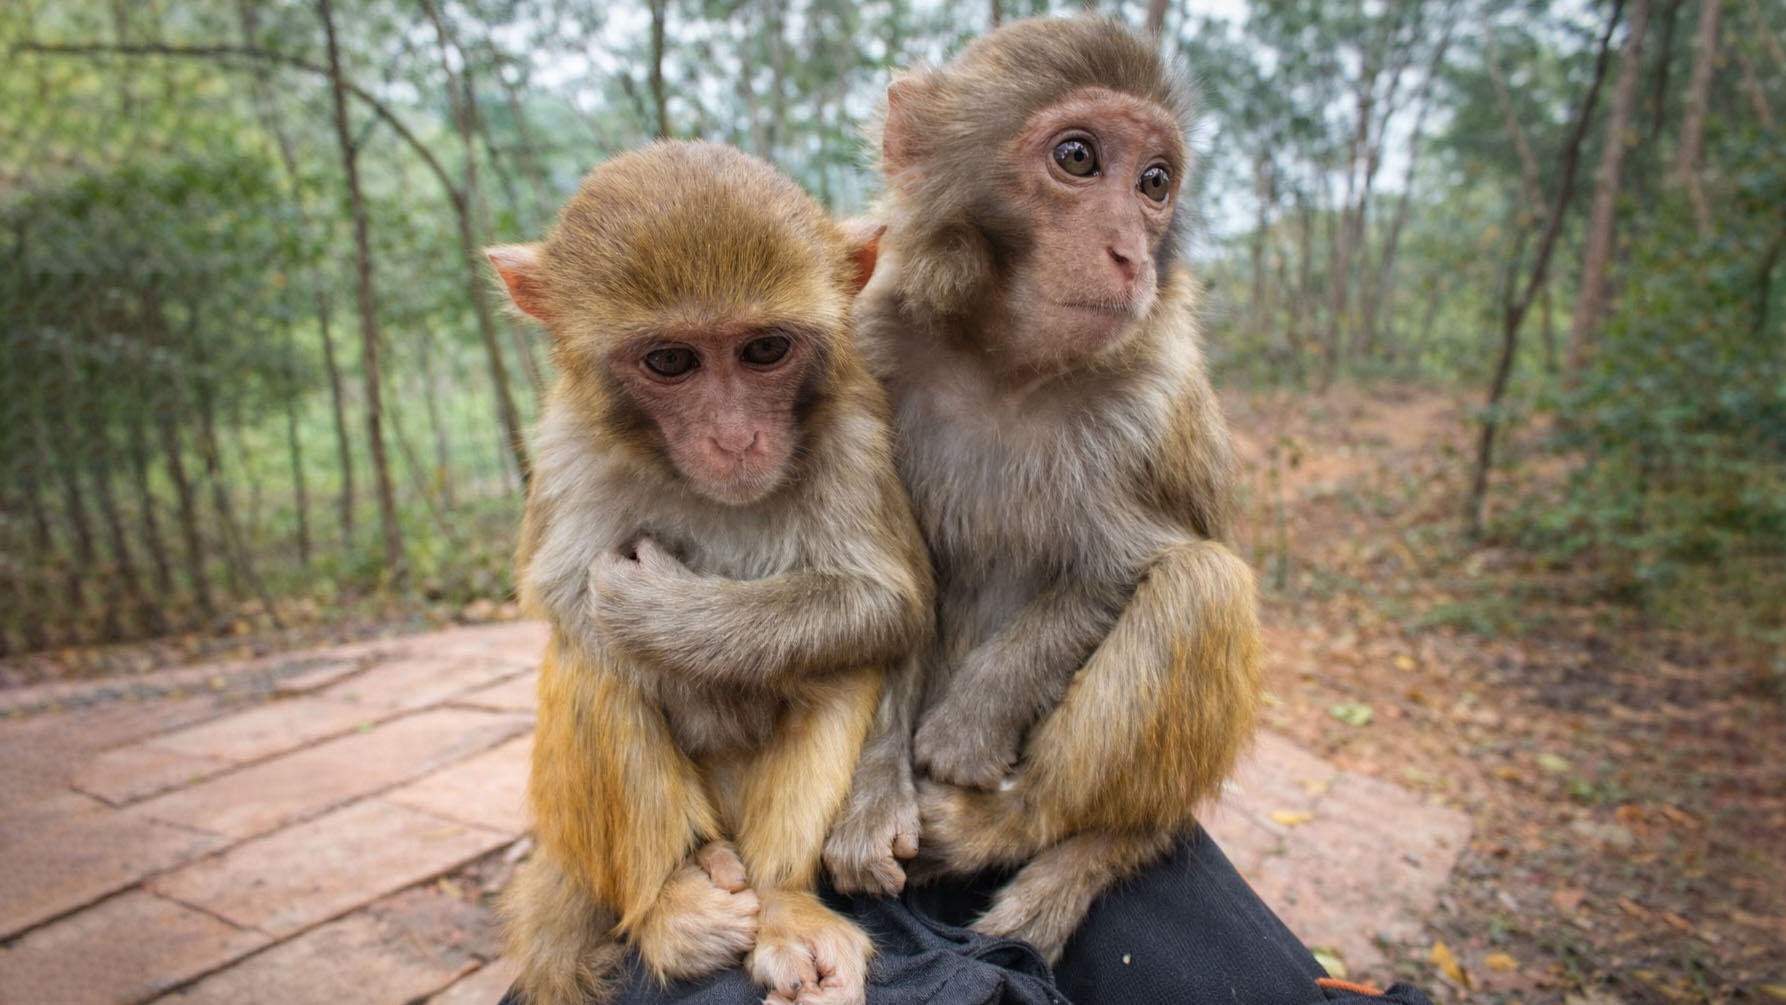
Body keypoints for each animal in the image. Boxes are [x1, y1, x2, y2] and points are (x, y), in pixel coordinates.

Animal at [487, 141, 932, 1005]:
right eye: (671, 360)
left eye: (763, 350)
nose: (734, 438)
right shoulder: (568, 444)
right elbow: (559, 594)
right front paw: (689, 680)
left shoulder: (855, 431)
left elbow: (882, 603)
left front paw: (669, 619)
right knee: (596, 662)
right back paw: (670, 901)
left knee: (839, 668)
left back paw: (785, 902)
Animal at [847, 16, 1266, 964]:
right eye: (1078, 157)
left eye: (1154, 182)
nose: (1130, 253)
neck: (1006, 365)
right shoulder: (867, 340)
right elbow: (880, 585)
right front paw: (870, 794)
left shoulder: (1145, 397)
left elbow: (1133, 561)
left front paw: (970, 725)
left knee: (1204, 584)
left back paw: (1011, 823)